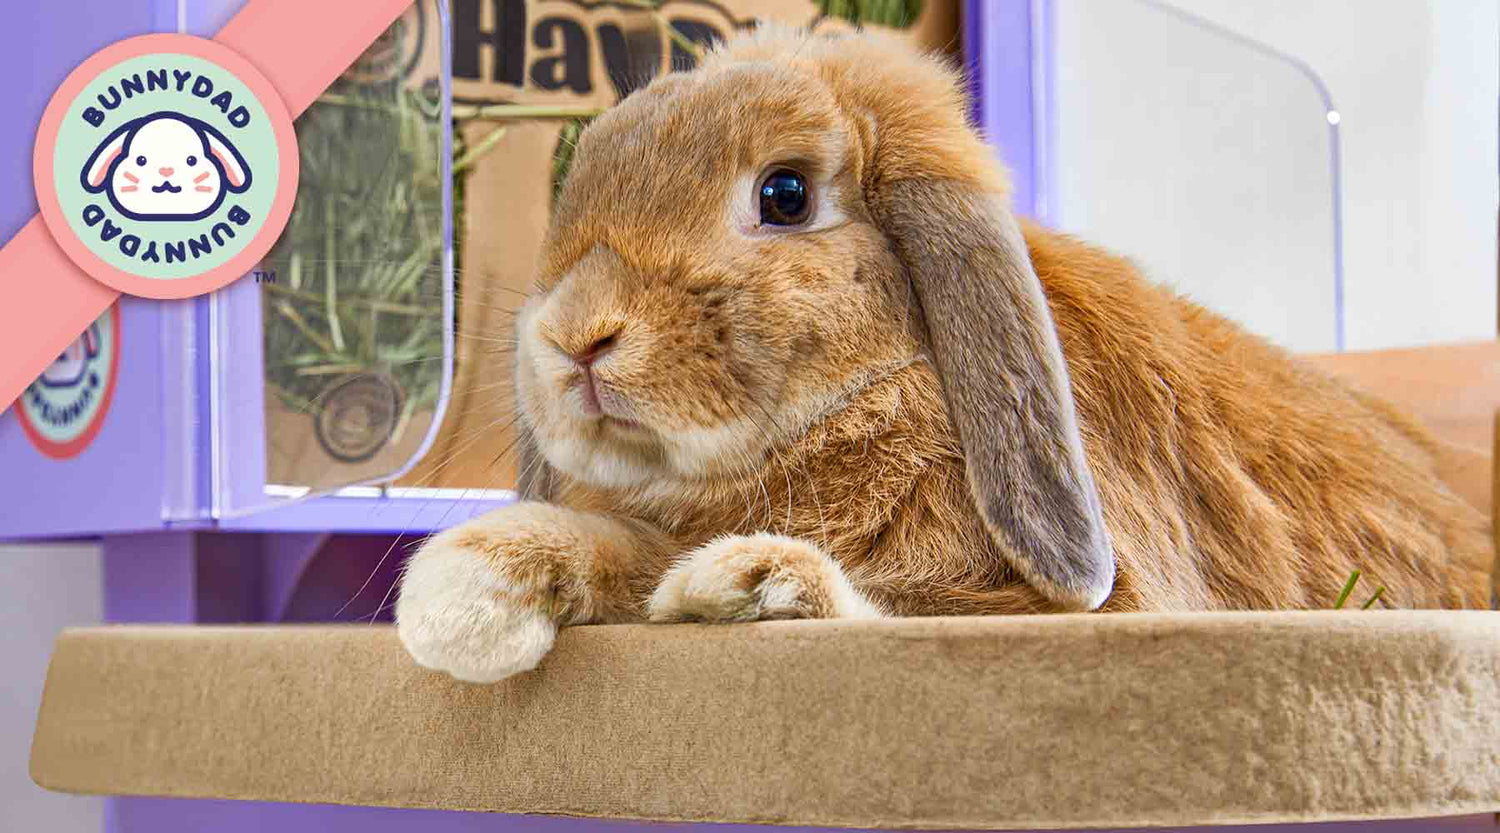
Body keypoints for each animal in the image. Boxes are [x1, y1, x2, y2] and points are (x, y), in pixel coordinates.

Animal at [395, 23, 1494, 683]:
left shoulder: (1058, 604)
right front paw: (462, 597)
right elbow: (618, 544)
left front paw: (751, 584)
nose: (572, 336)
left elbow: (886, 606)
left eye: (785, 195)